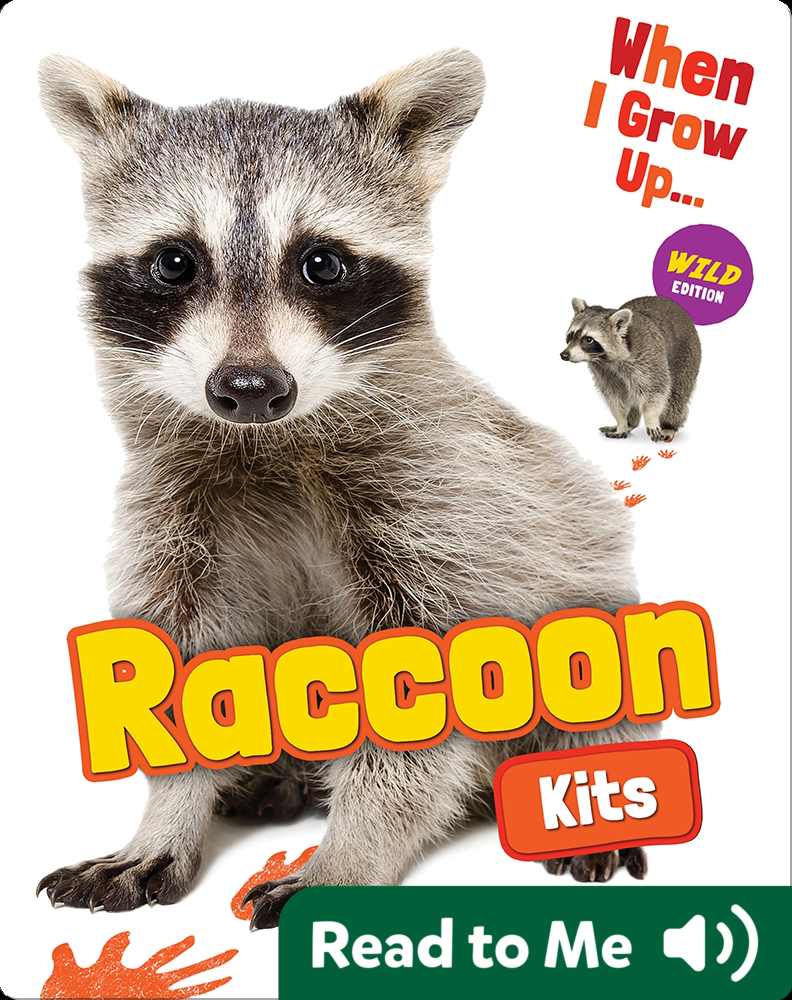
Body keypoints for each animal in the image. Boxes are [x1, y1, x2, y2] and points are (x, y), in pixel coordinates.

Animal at [37, 51, 657, 930]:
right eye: (175, 262)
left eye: (321, 262)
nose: (250, 387)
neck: (268, 446)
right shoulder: (170, 513)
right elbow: (179, 665)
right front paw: (167, 814)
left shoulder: (445, 494)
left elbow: (429, 689)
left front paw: (353, 852)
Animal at [561, 296, 701, 442]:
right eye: (571, 335)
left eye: (588, 339)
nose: (564, 355)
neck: (607, 360)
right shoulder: (603, 370)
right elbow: (614, 395)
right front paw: (622, 422)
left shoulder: (648, 357)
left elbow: (656, 388)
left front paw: (651, 417)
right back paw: (630, 423)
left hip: (687, 354)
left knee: (676, 395)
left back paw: (669, 425)